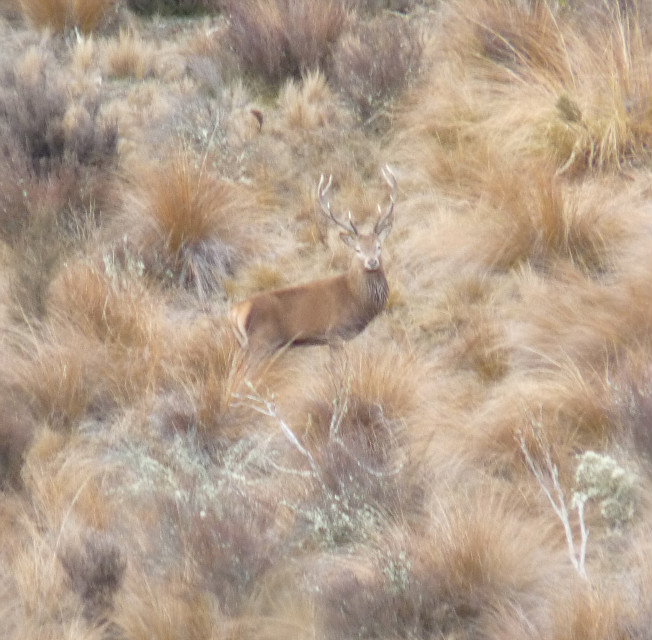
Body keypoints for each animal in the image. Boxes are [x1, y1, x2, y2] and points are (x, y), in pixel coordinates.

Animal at [229, 166, 397, 352]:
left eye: (379, 246)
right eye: (357, 249)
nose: (372, 262)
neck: (357, 298)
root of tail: (234, 313)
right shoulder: (335, 332)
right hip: (261, 342)